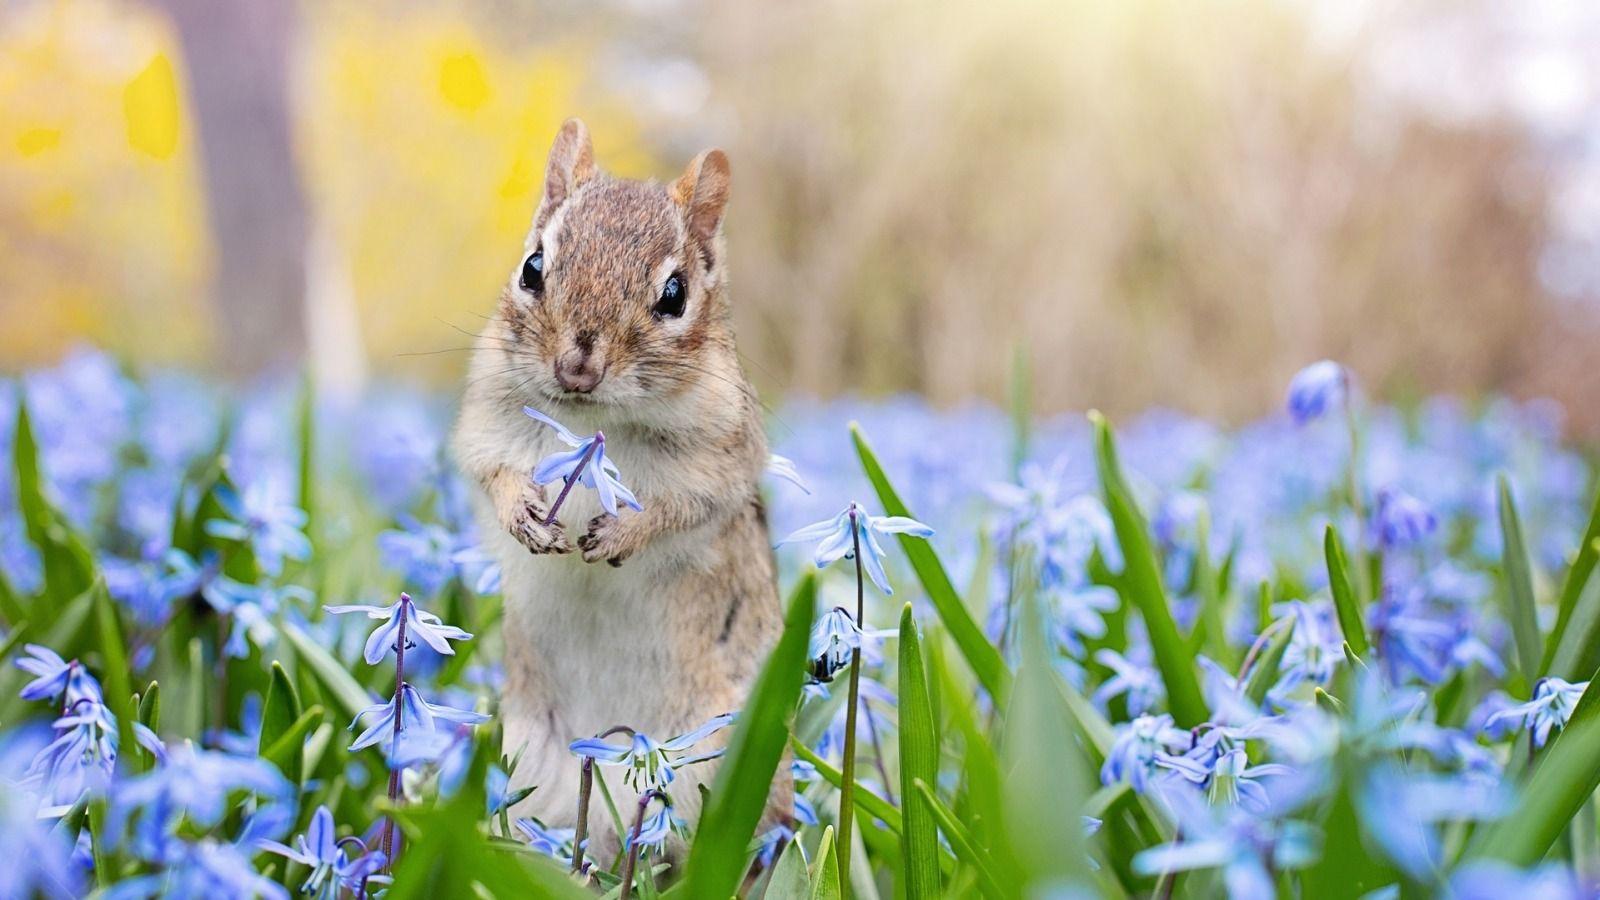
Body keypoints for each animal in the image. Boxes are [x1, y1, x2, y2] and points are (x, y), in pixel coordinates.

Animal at [451, 119, 787, 855]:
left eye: (674, 294)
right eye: (533, 267)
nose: (577, 365)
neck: (589, 420)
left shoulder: (720, 460)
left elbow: (682, 508)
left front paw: (621, 533)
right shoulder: (486, 424)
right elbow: (493, 474)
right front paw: (525, 516)